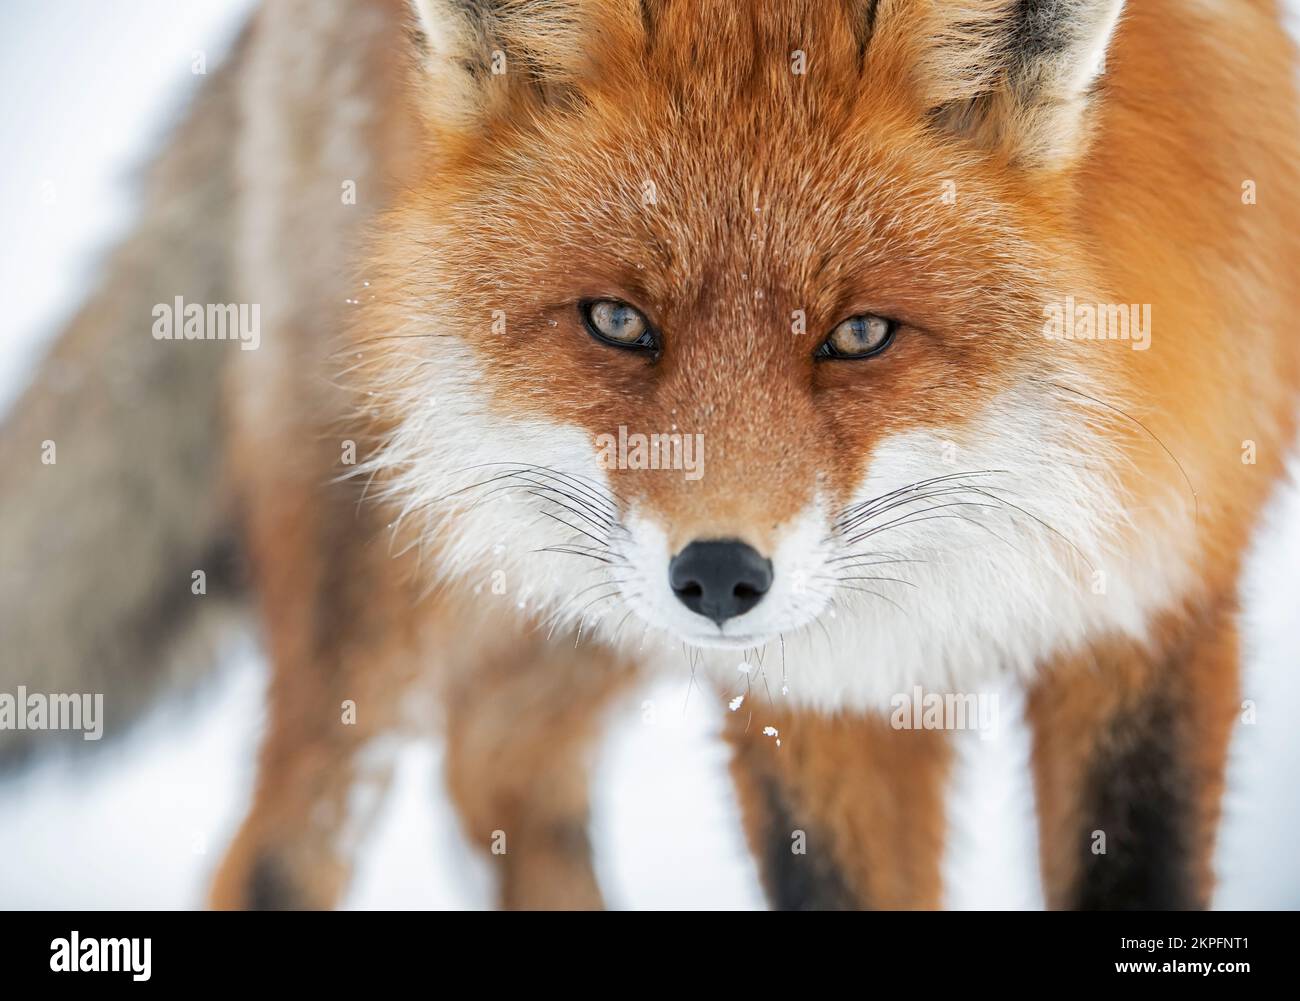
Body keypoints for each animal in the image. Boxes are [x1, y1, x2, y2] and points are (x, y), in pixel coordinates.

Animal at [2, 0, 1299, 911]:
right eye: (619, 320)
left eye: (859, 335)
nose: (718, 572)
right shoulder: (805, 685)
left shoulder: (1156, 604)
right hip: (401, 553)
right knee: (284, 844)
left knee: (496, 761)